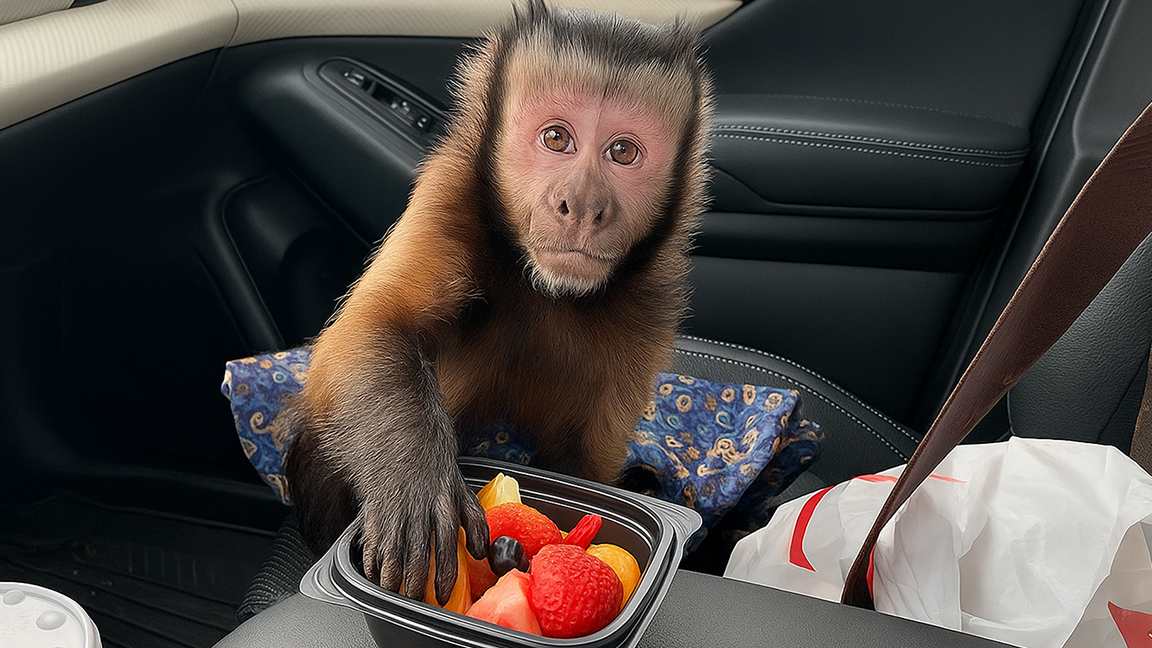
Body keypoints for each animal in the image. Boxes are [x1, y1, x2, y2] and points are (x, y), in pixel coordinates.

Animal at [282, 1, 712, 606]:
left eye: (623, 152)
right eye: (556, 139)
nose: (581, 204)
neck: (541, 283)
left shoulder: (655, 291)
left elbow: (584, 458)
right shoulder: (448, 200)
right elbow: (373, 328)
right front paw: (417, 480)